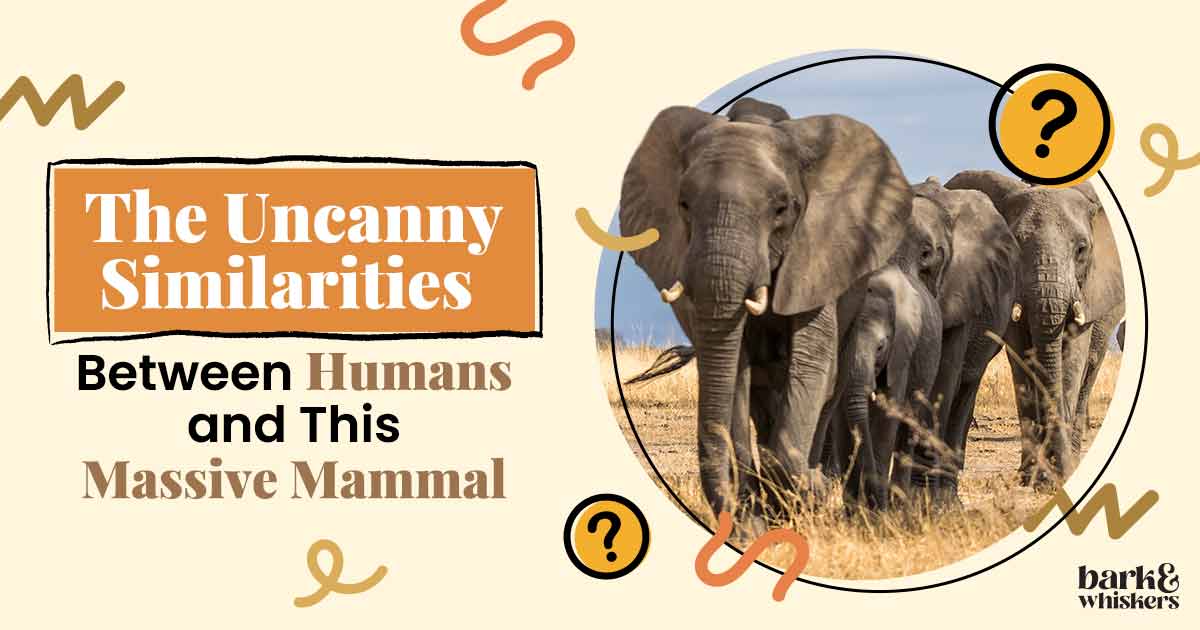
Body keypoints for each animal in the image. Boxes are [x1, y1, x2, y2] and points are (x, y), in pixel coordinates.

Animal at [619, 97, 912, 528]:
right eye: (683, 205)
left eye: (781, 209)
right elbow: (733, 370)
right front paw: (755, 520)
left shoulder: (817, 255)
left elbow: (812, 363)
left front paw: (806, 493)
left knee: (829, 387)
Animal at [830, 265, 942, 510]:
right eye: (842, 342)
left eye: (881, 347)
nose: (874, 502)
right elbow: (842, 420)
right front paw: (853, 510)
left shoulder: (901, 352)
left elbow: (887, 414)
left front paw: (877, 510)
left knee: (908, 427)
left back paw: (899, 502)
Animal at [945, 171, 1124, 488]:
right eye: (1015, 245)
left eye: (1081, 249)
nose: (1057, 475)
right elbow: (1023, 361)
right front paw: (1032, 477)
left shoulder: (1089, 287)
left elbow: (1073, 359)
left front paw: (1057, 475)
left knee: (1090, 367)